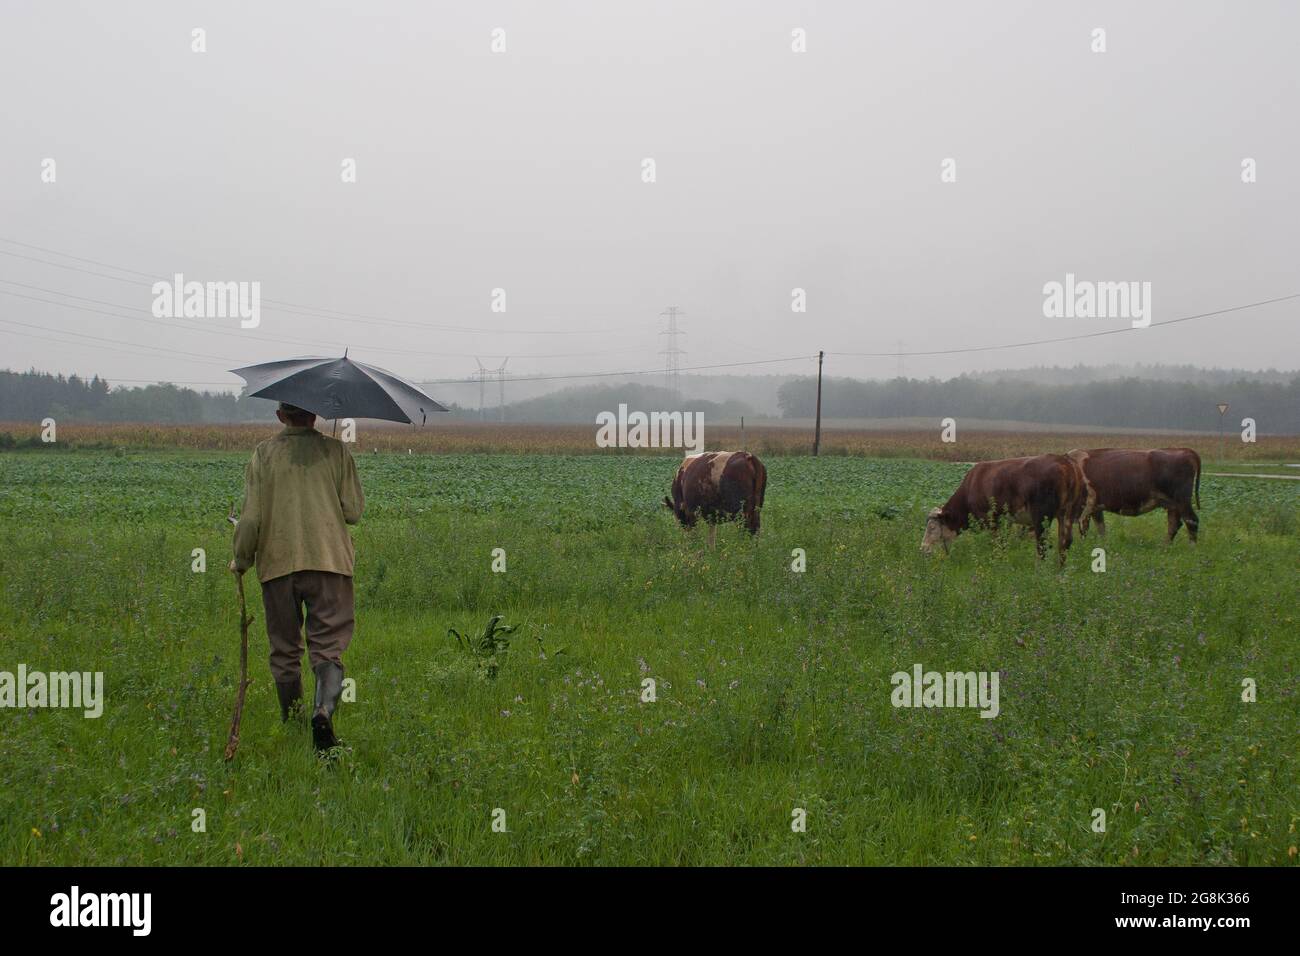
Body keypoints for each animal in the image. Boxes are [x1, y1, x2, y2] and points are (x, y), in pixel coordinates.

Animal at [920, 454, 1087, 563]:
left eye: (932, 528)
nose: (922, 549)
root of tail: (1064, 460)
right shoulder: (1007, 521)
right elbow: (1003, 543)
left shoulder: (992, 519)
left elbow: (997, 543)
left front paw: (997, 563)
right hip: (1067, 513)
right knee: (1065, 541)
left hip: (1041, 516)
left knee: (1042, 544)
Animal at [1067, 447, 1201, 543]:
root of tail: (1185, 451)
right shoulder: (1095, 508)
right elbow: (1100, 528)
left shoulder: (1085, 507)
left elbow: (1083, 528)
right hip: (1172, 505)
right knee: (1174, 524)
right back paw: (1164, 546)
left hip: (1182, 501)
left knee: (1191, 521)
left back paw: (1191, 549)